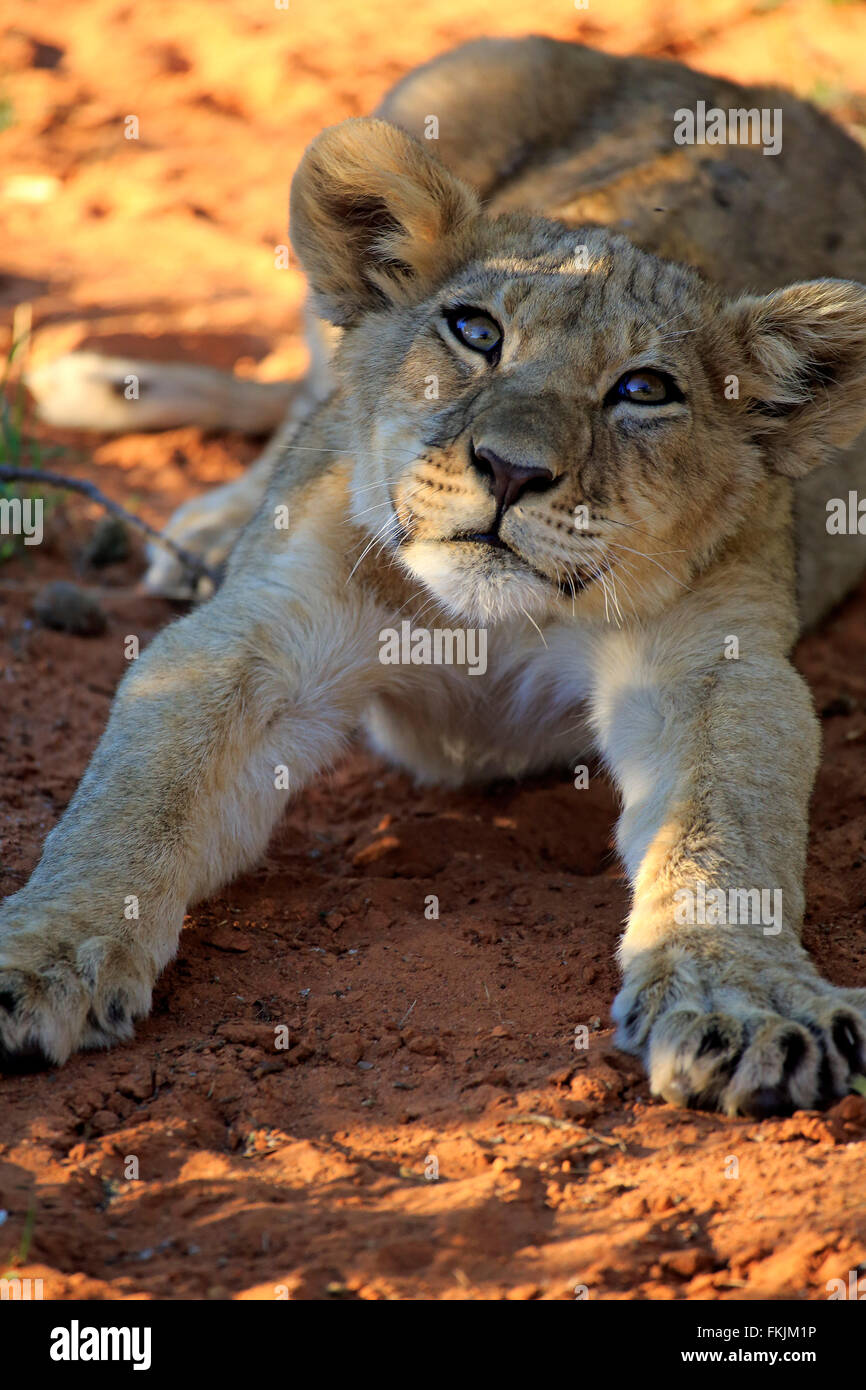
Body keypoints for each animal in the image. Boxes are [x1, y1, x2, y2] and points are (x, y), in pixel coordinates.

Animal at [7, 36, 866, 1117]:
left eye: (643, 390)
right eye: (475, 332)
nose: (510, 469)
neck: (489, 624)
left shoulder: (717, 668)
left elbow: (724, 832)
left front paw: (743, 1002)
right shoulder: (255, 639)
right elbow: (130, 808)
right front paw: (39, 959)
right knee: (309, 387)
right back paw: (207, 525)